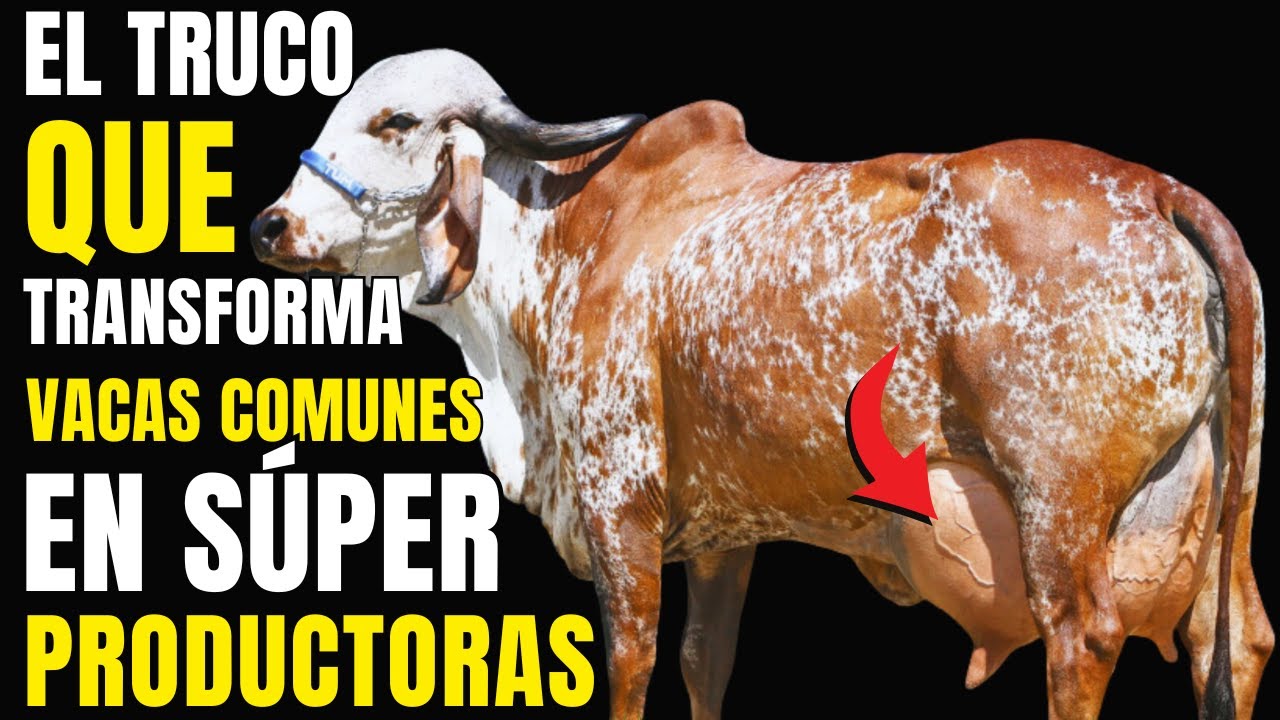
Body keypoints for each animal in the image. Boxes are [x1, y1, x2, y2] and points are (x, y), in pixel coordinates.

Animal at [251, 49, 1269, 719]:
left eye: (394, 123)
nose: (270, 225)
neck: (564, 229)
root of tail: (1157, 190)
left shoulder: (618, 499)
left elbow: (632, 656)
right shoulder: (721, 531)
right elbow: (705, 659)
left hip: (1057, 500)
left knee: (1081, 635)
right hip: (1217, 505)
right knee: (1232, 638)